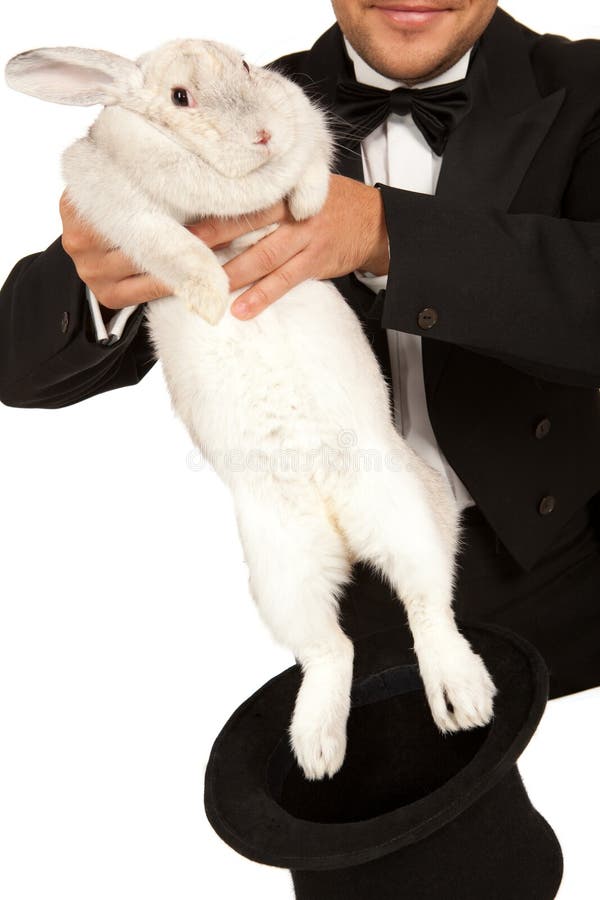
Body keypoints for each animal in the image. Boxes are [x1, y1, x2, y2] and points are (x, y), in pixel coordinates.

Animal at [5, 38, 496, 780]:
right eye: (179, 97)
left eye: (243, 66)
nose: (263, 135)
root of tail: (336, 518)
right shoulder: (113, 201)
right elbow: (172, 245)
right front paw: (212, 295)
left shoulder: (307, 126)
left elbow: (312, 159)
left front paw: (311, 205)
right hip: (282, 573)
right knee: (333, 650)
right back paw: (319, 751)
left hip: (401, 515)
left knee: (427, 609)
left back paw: (460, 701)